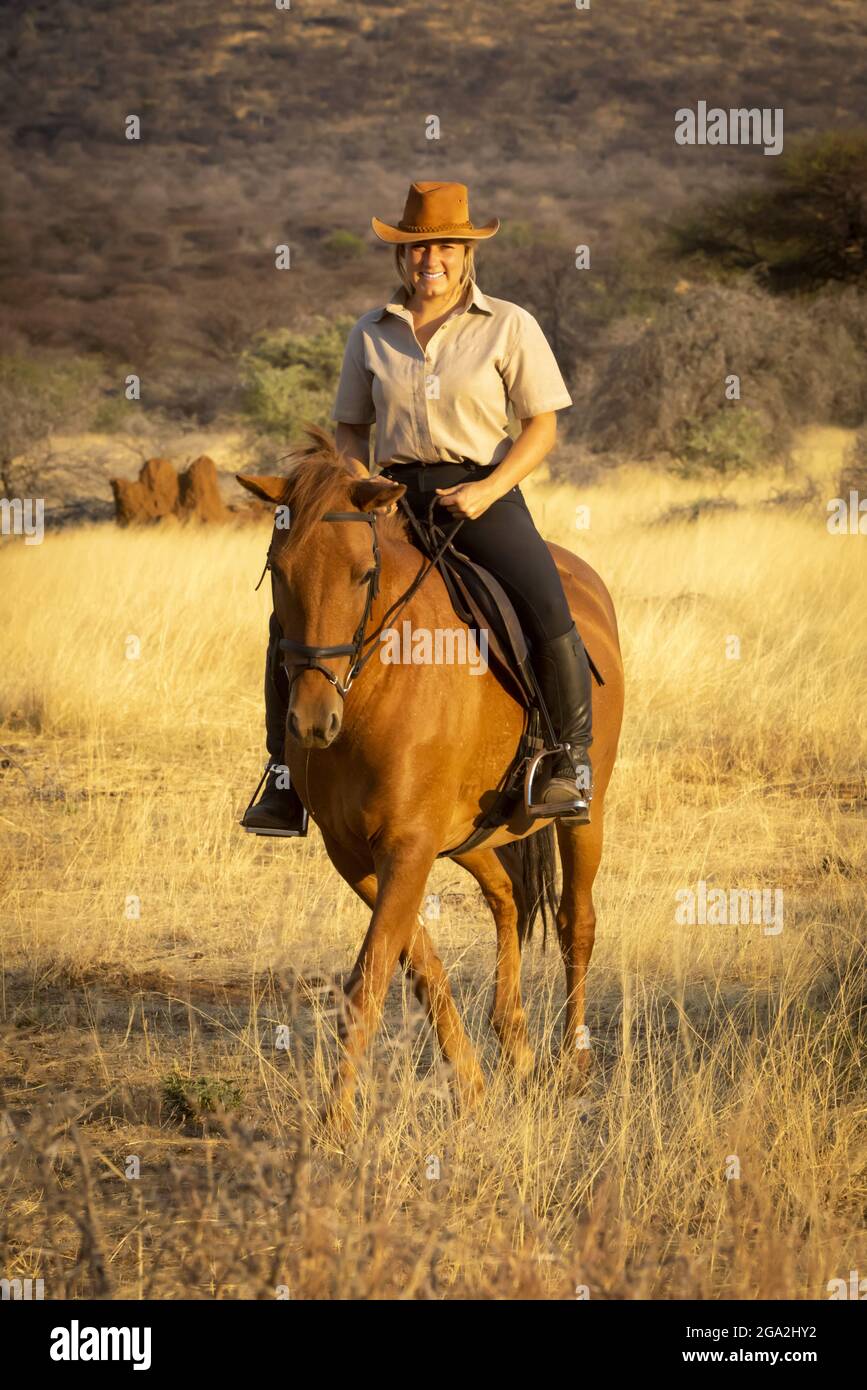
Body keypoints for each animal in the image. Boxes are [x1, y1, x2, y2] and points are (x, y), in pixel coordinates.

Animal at [238, 427, 624, 1130]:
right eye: (278, 571)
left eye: (364, 574)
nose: (311, 721)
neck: (375, 685)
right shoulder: (359, 854)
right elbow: (419, 963)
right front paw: (470, 1084)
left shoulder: (408, 847)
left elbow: (369, 982)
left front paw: (335, 1126)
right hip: (474, 833)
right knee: (507, 897)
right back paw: (515, 1040)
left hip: (586, 813)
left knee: (575, 922)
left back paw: (573, 1064)